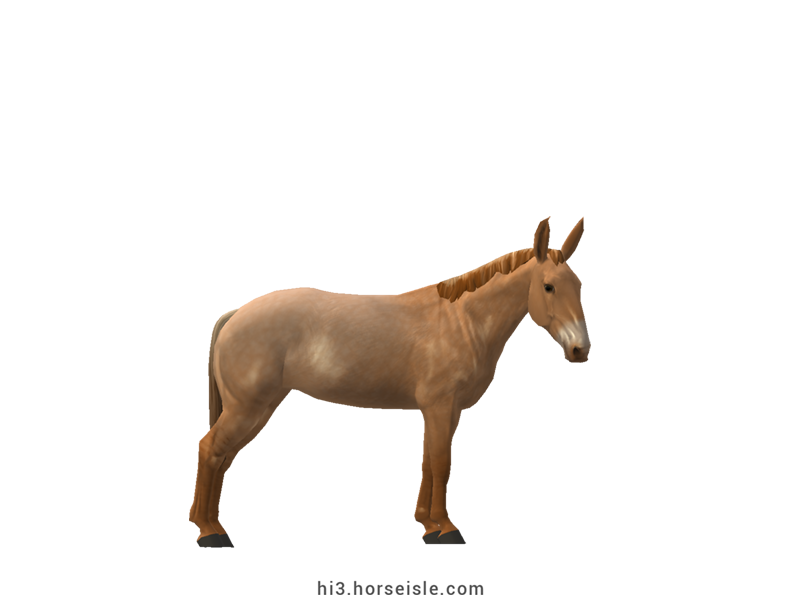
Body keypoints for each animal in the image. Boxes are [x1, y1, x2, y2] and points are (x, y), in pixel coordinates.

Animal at [190, 217, 588, 540]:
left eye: (576, 283)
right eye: (549, 286)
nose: (578, 348)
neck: (465, 321)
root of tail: (235, 315)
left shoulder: (441, 408)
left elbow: (430, 460)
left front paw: (425, 521)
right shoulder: (439, 404)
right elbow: (442, 460)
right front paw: (445, 524)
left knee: (216, 455)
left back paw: (207, 524)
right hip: (245, 409)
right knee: (210, 450)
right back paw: (205, 529)